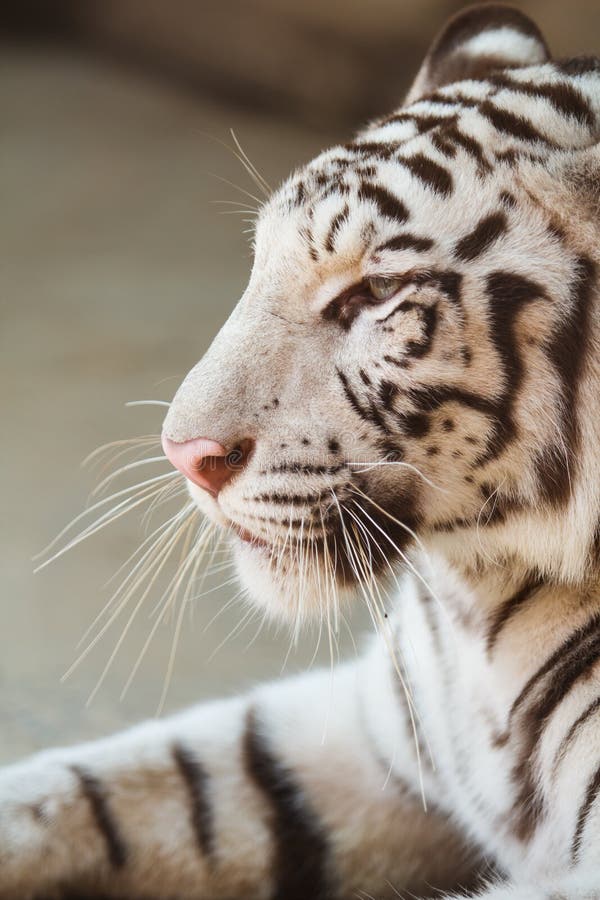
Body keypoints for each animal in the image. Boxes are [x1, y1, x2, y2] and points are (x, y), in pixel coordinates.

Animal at [4, 3, 600, 898]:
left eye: (377, 293)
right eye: (259, 263)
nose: (186, 455)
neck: (485, 613)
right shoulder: (370, 736)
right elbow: (104, 788)